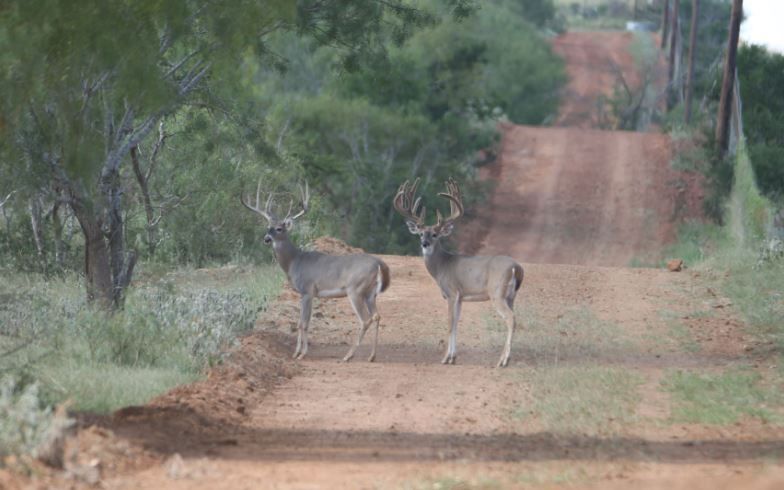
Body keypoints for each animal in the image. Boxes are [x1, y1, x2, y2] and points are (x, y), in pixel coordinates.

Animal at [241, 181, 390, 363]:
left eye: (279, 229)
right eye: (268, 227)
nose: (266, 239)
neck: (294, 261)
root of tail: (378, 263)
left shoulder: (307, 290)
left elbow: (304, 323)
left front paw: (302, 354)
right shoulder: (304, 294)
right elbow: (300, 322)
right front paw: (295, 353)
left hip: (355, 290)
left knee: (365, 320)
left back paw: (348, 356)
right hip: (370, 293)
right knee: (377, 316)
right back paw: (371, 356)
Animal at [393, 178, 523, 367]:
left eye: (435, 234)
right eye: (420, 234)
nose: (425, 244)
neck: (442, 266)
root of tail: (516, 267)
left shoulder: (452, 292)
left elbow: (449, 322)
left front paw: (446, 358)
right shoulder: (461, 297)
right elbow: (456, 323)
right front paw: (453, 357)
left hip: (497, 293)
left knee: (511, 318)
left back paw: (503, 360)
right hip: (511, 296)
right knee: (513, 318)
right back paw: (506, 358)